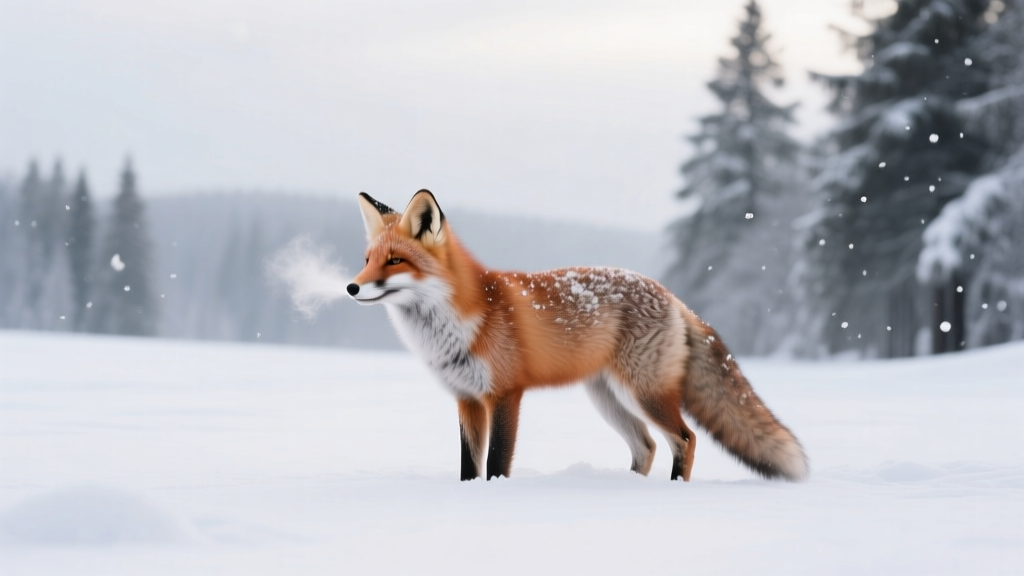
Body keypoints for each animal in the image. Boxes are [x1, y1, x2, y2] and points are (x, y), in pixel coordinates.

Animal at [346, 189, 808, 482]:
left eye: (395, 261)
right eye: (367, 260)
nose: (351, 287)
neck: (456, 327)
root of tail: (673, 296)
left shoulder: (505, 394)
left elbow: (495, 464)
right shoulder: (467, 399)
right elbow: (468, 468)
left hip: (645, 393)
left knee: (684, 439)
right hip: (607, 399)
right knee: (646, 447)